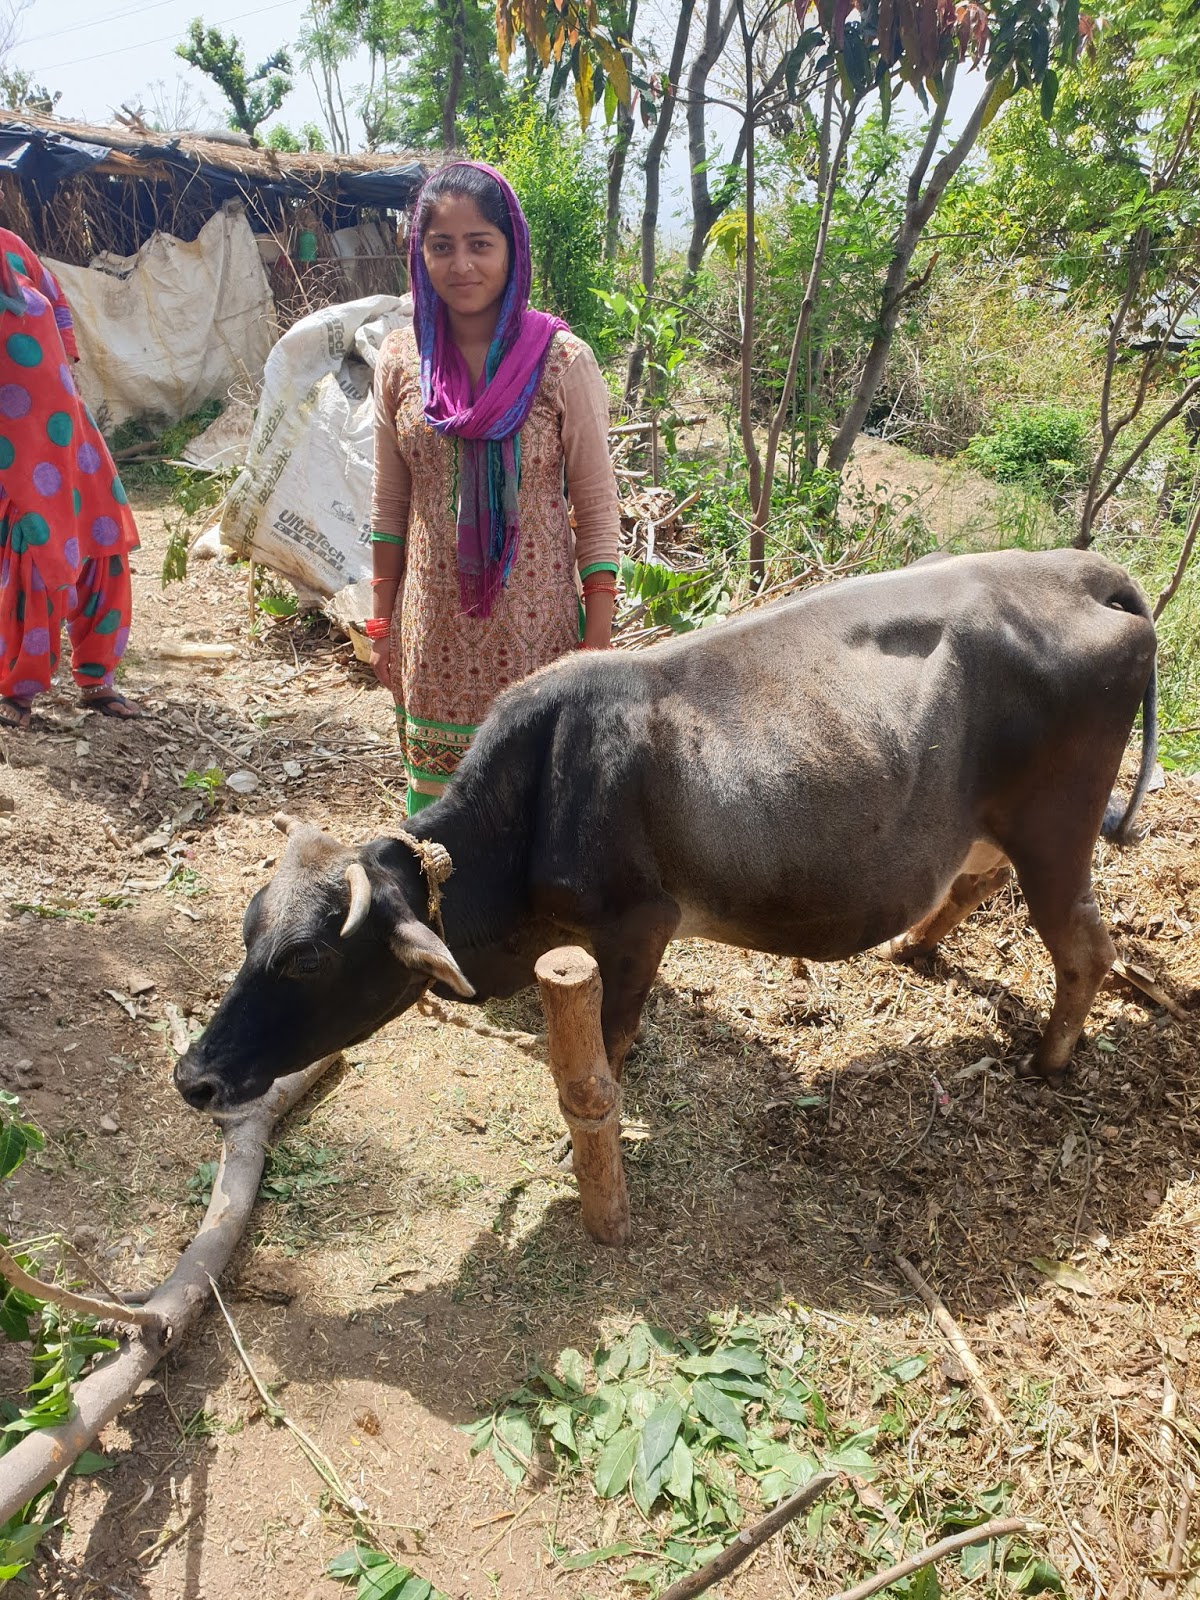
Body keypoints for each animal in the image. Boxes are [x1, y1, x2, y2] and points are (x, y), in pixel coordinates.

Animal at [174, 547, 1157, 1115]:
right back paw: (914, 948)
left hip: (1057, 831)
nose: (195, 1077)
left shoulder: (639, 926)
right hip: (995, 828)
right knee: (979, 881)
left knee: (1085, 947)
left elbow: (611, 1037)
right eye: (249, 932)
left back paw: (1052, 1059)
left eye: (308, 959)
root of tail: (1084, 572)